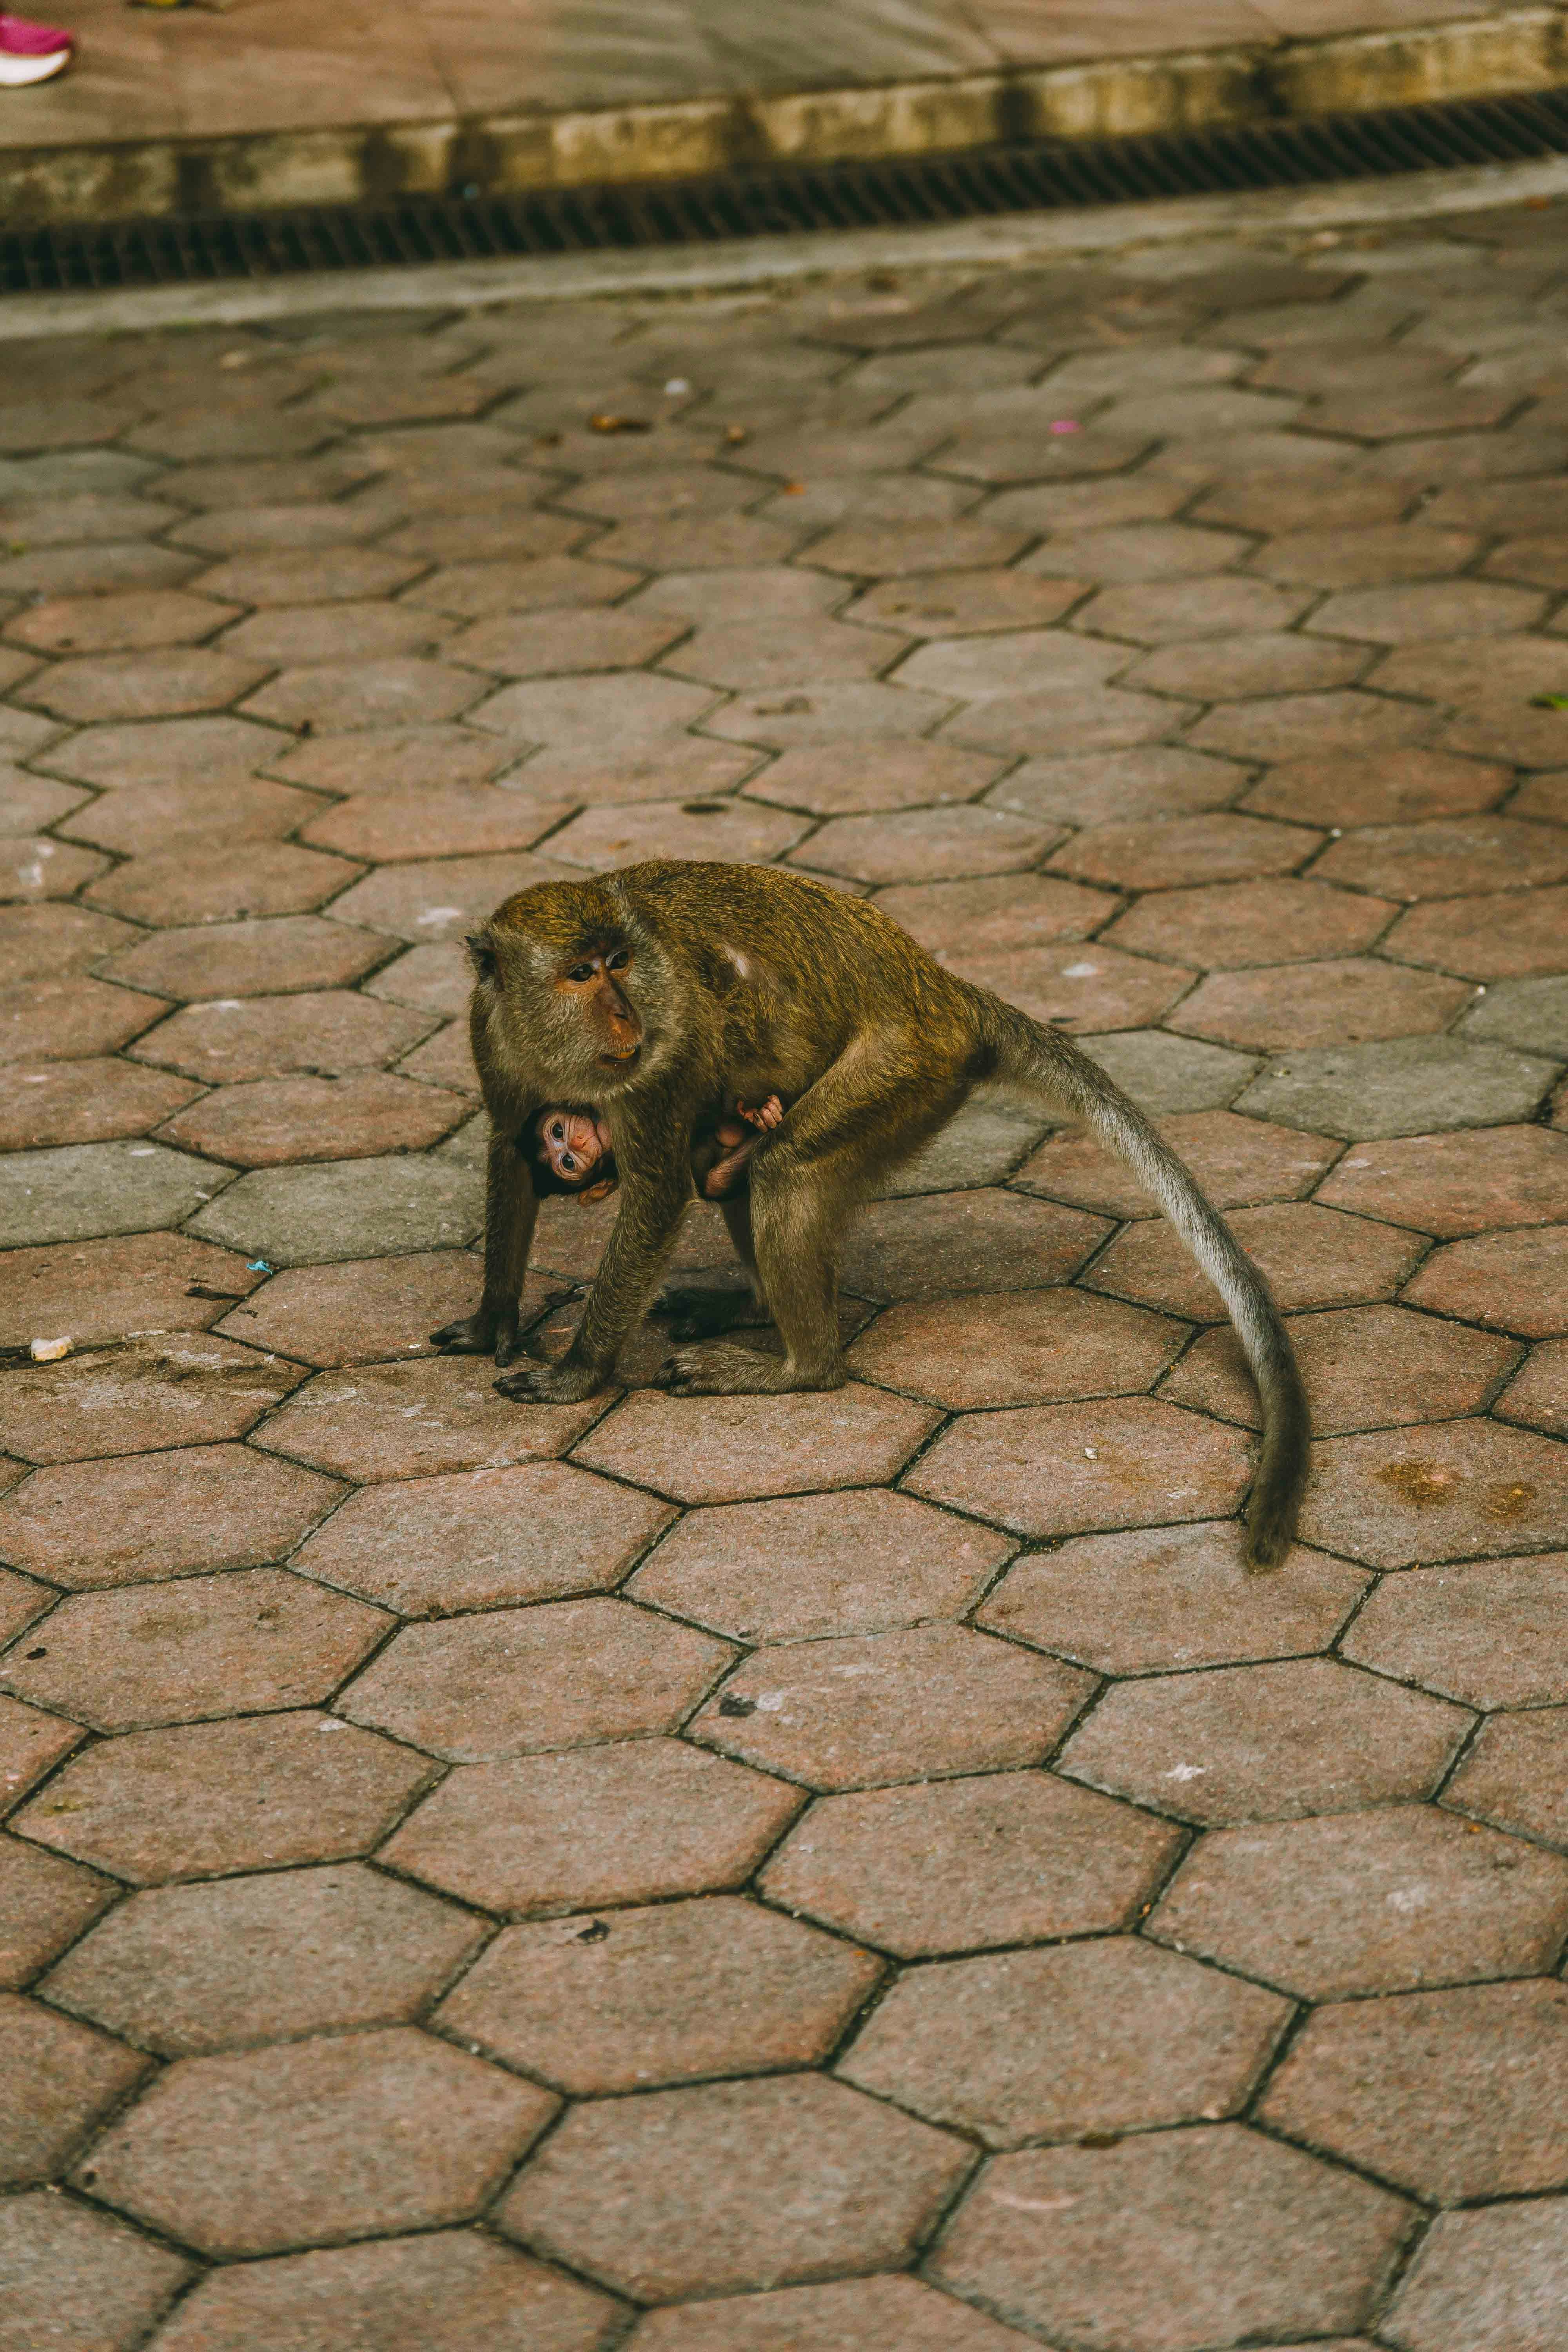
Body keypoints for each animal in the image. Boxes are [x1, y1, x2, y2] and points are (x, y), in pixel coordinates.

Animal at [431, 861, 1308, 1569]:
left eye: (617, 965)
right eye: (580, 973)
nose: (624, 1017)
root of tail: (943, 990)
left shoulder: (659, 1060)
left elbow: (654, 1194)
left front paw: (577, 1372)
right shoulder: (489, 1029)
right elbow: (507, 1153)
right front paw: (492, 1318)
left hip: (908, 1066)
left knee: (784, 1170)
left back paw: (800, 1367)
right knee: (747, 1175)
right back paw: (751, 1305)